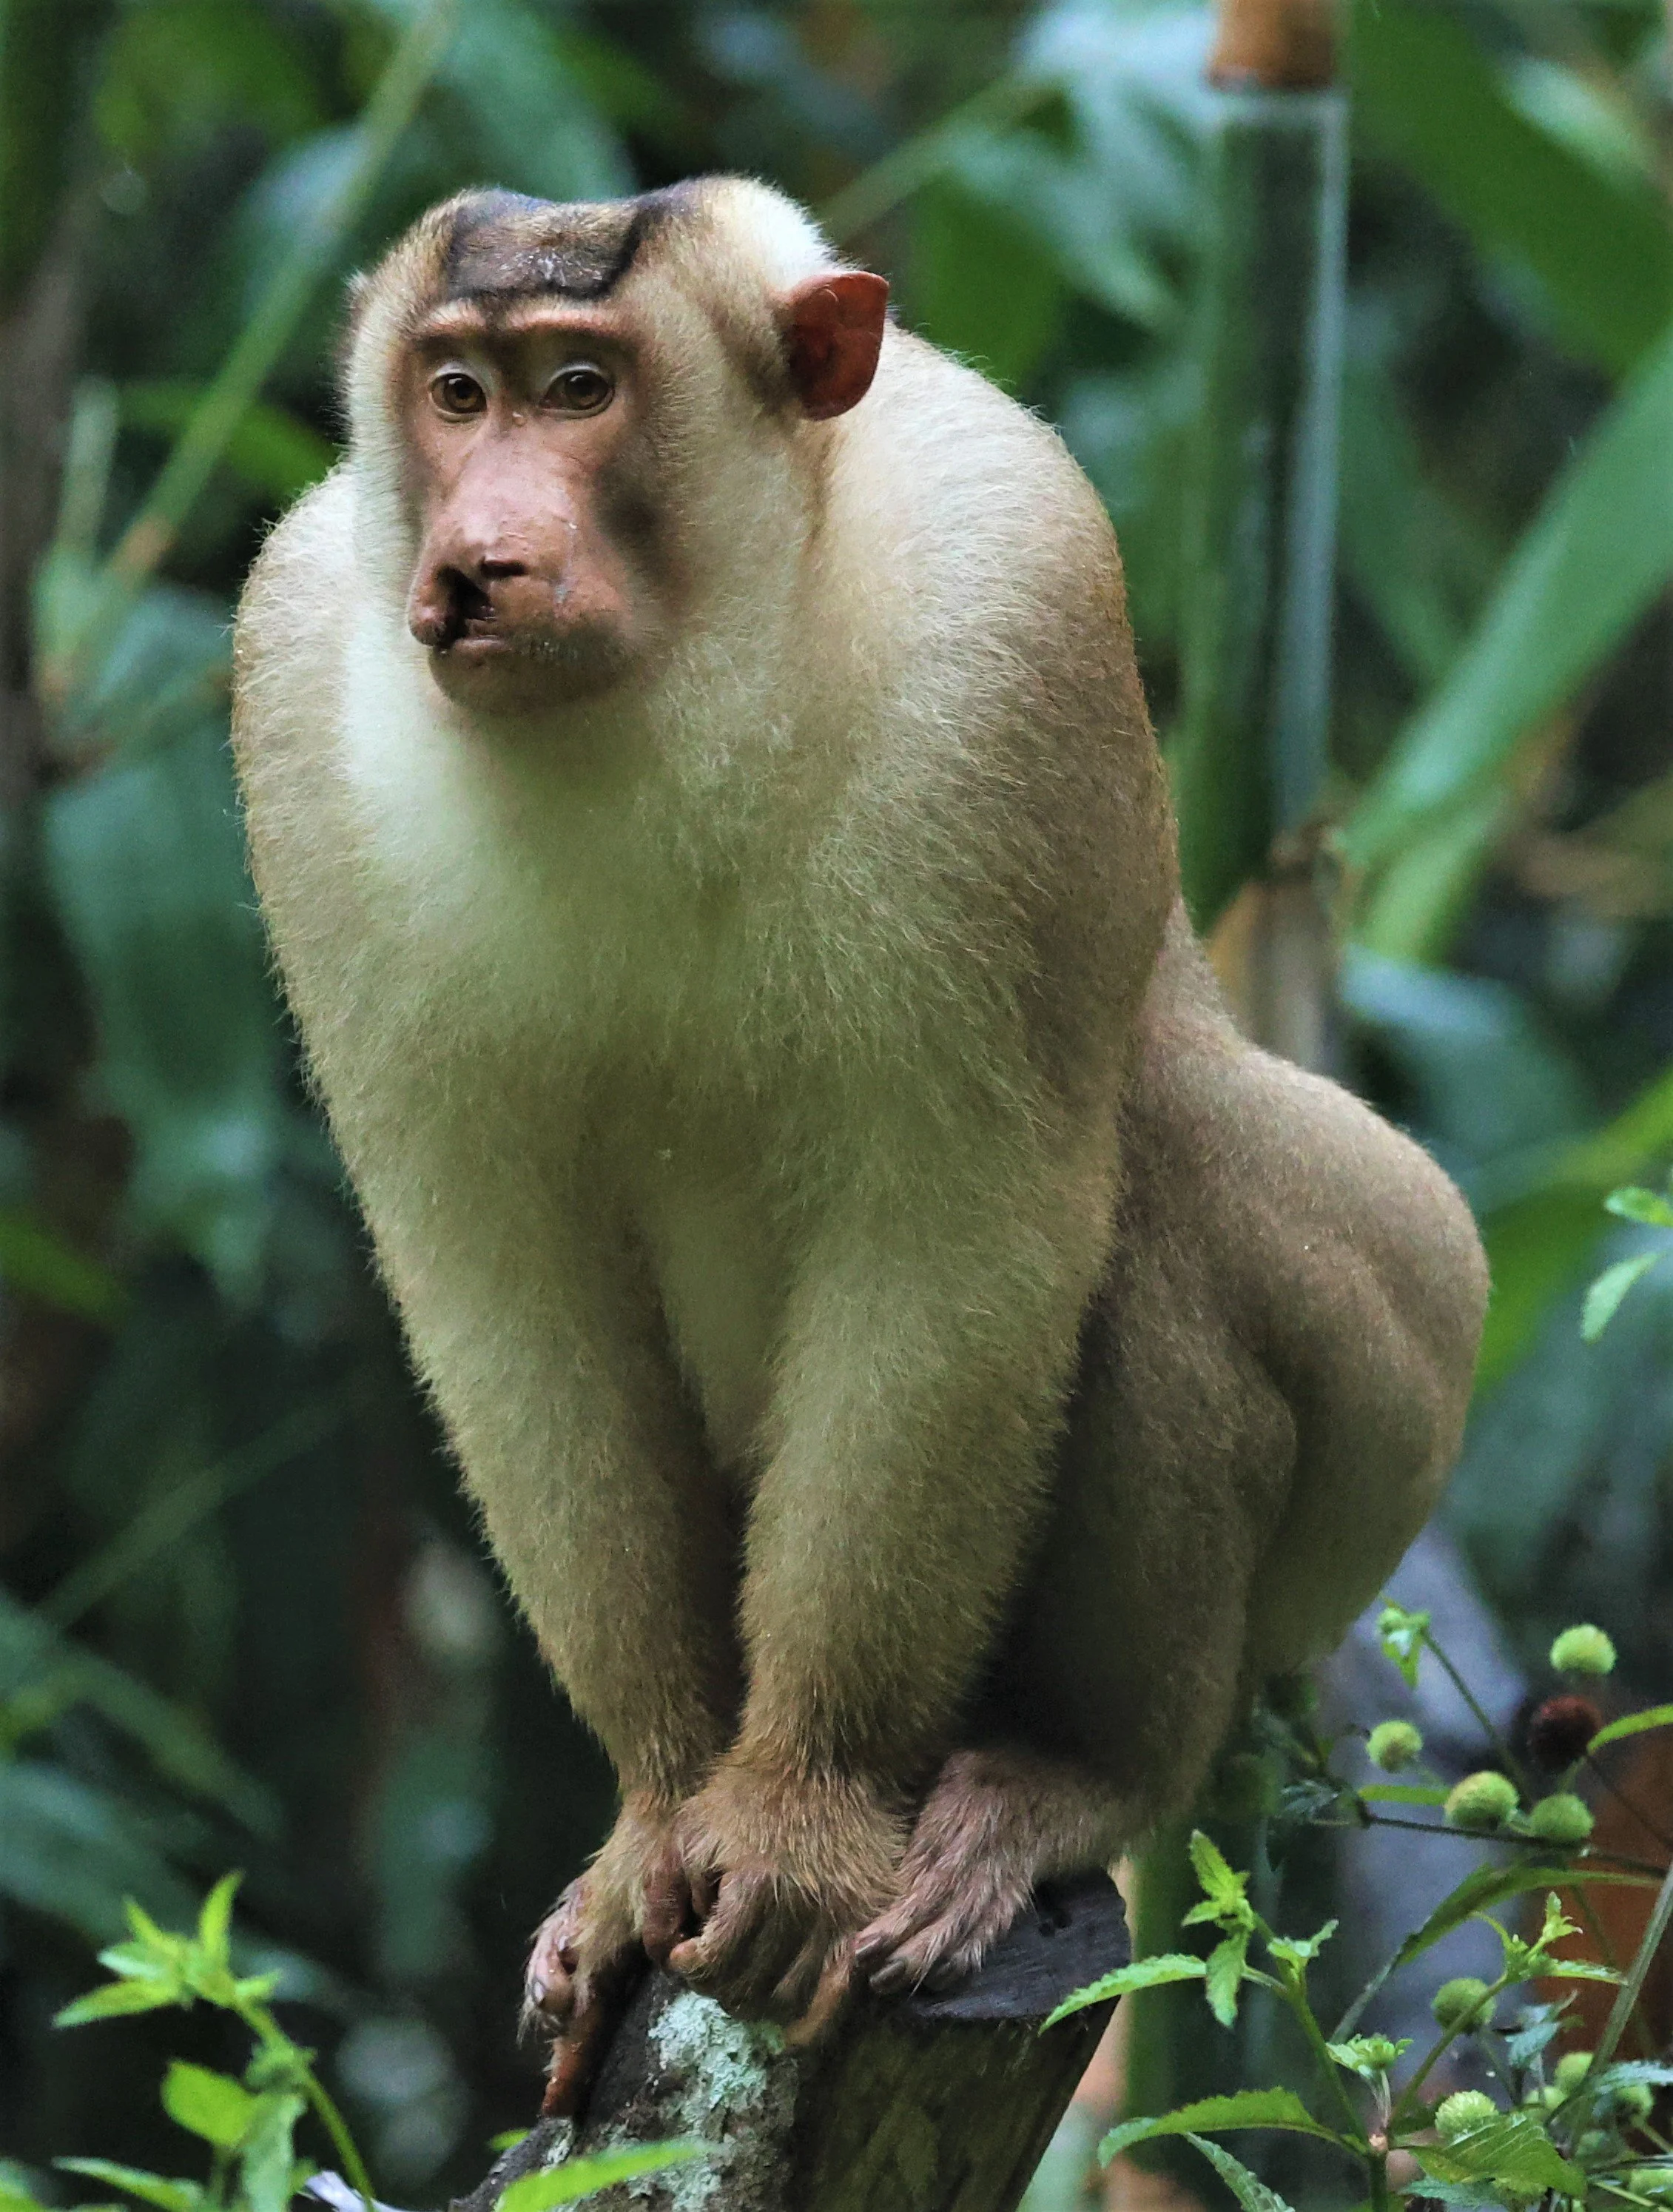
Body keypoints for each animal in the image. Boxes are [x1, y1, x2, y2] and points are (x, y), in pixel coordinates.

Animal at [230, 176, 1489, 2110]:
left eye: (580, 387)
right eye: (455, 393)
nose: (475, 555)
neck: (669, 693)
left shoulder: (1016, 596)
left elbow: (954, 1239)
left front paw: (800, 1818)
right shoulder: (293, 681)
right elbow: (505, 1297)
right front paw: (658, 1818)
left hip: (1386, 1446)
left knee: (1175, 1184)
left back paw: (1076, 1772)